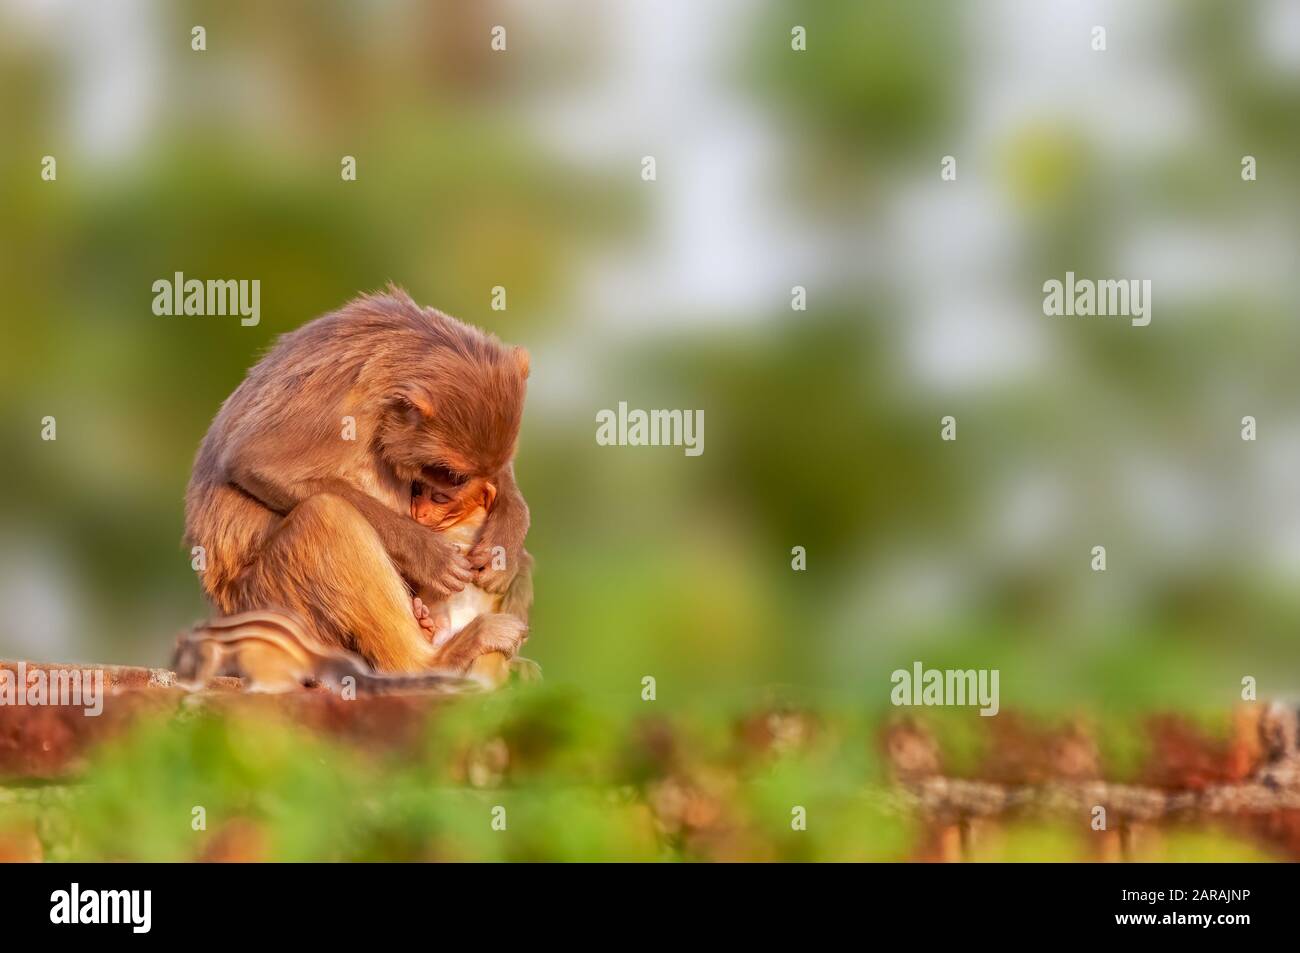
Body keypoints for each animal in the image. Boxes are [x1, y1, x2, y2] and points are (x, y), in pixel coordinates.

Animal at [172, 609, 479, 694]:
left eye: (176, 655)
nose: (174, 668)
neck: (199, 635)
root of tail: (312, 653)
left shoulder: (210, 650)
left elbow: (207, 668)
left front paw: (192, 684)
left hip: (255, 657)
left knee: (286, 683)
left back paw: (257, 688)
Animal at [184, 287, 533, 675]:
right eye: (451, 477)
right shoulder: (342, 402)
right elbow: (254, 462)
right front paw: (430, 556)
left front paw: (506, 537)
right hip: (273, 604)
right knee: (327, 516)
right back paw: (433, 660)